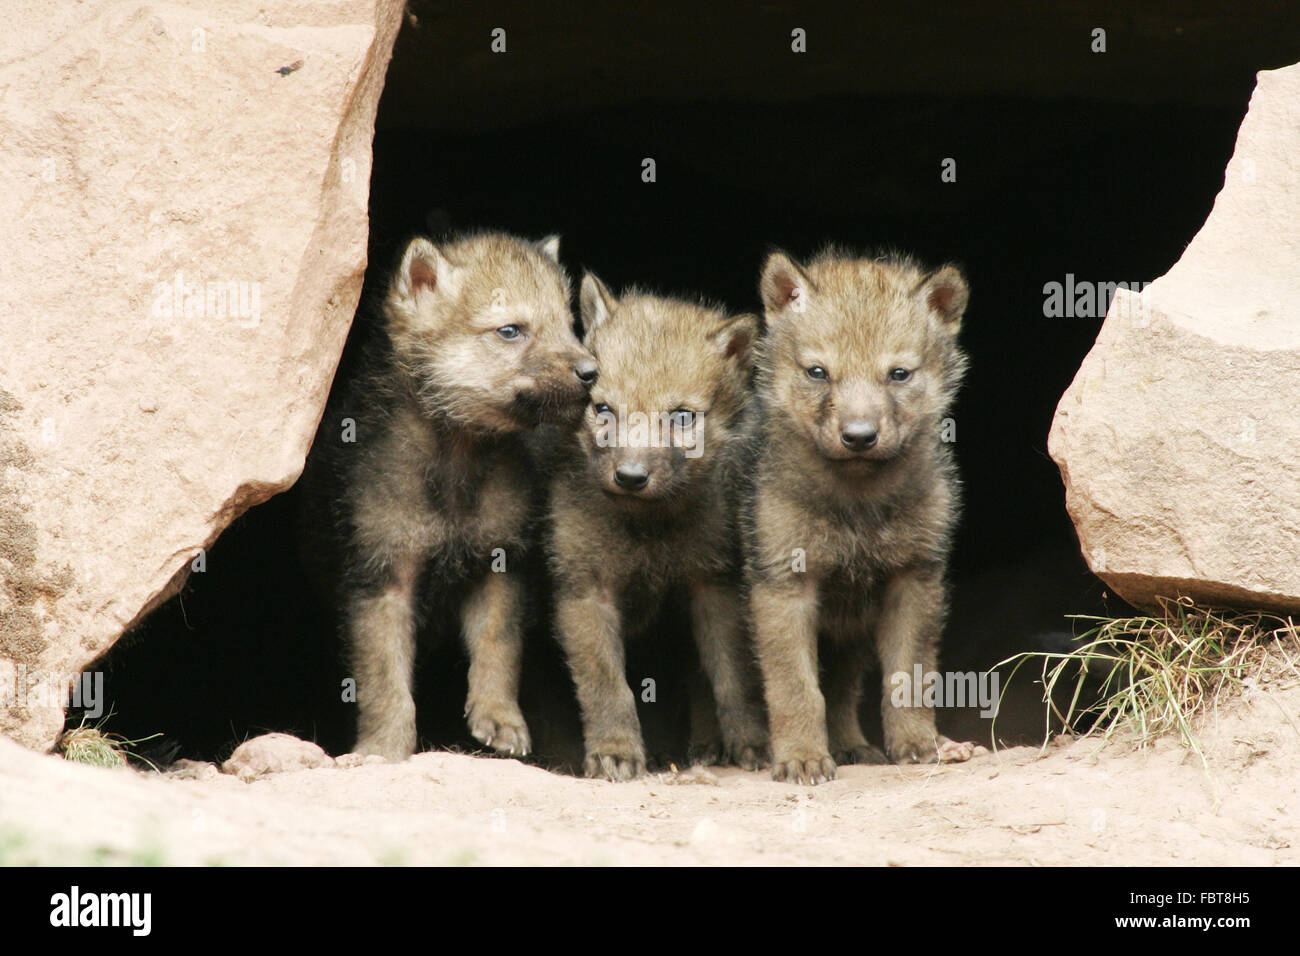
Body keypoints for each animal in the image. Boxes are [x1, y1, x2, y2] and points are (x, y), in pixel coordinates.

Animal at [299, 232, 597, 762]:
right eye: (510, 331)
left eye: (569, 324)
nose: (592, 371)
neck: (458, 462)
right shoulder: (381, 577)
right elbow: (383, 680)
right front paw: (384, 747)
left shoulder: (501, 565)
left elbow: (498, 648)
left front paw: (500, 720)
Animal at [548, 274, 768, 781]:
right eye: (603, 409)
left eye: (682, 417)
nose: (630, 477)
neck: (648, 529)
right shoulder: (586, 591)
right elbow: (607, 685)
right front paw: (615, 751)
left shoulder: (715, 586)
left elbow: (735, 678)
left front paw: (751, 743)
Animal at [747, 248, 971, 784]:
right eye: (817, 372)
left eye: (899, 374)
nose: (860, 436)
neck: (857, 503)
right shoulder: (783, 586)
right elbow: (794, 688)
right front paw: (800, 757)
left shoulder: (915, 579)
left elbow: (909, 677)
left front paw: (917, 744)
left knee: (844, 690)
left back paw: (851, 745)